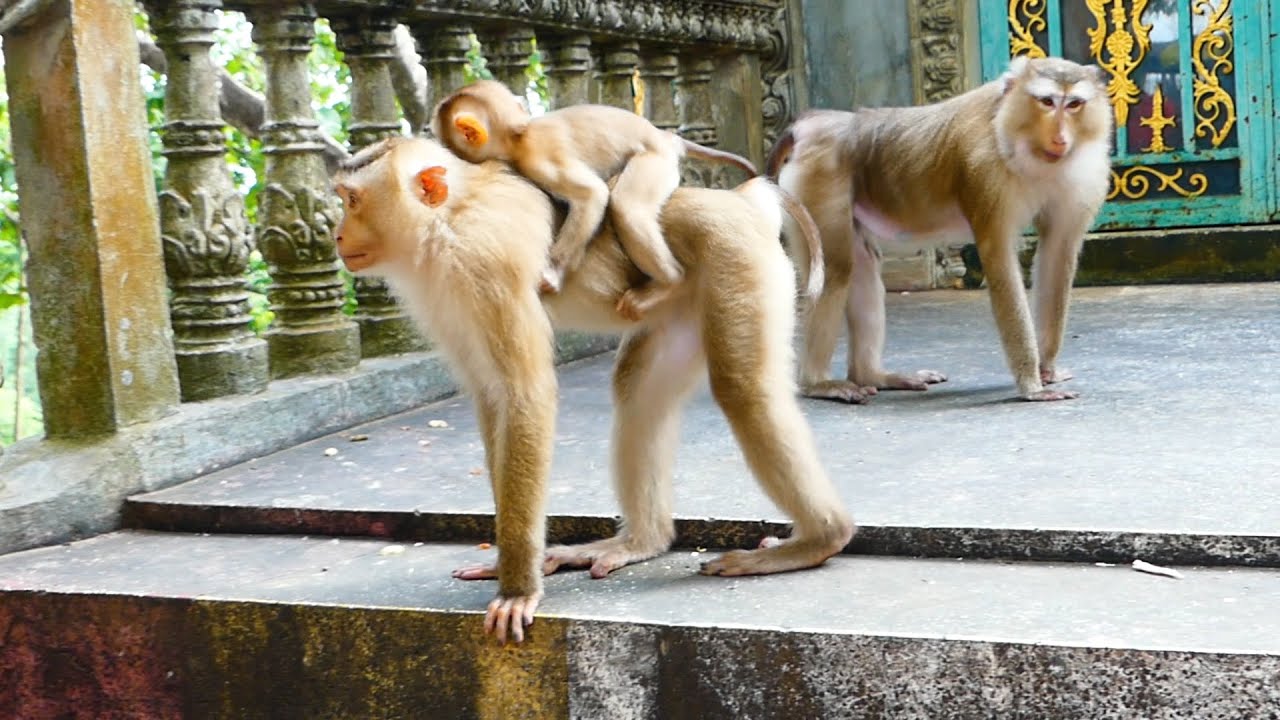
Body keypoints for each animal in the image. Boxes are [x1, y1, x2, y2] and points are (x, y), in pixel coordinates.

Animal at [332, 136, 853, 644]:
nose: (337, 234)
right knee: (637, 389)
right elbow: (491, 395)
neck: (449, 221)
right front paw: (505, 563)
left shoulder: (488, 268)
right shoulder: (445, 295)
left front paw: (517, 589)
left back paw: (819, 539)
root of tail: (740, 201)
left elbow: (525, 396)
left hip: (737, 262)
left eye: (352, 201)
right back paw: (640, 541)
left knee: (743, 391)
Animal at [430, 79, 759, 321]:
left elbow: (592, 194)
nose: (446, 150)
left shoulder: (538, 160)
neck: (519, 134)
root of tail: (665, 137)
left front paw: (553, 274)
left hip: (656, 161)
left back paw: (670, 283)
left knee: (628, 207)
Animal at [767, 55, 1113, 403]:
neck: (1017, 139)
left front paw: (1047, 370)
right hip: (818, 180)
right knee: (836, 271)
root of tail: (814, 124)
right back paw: (817, 383)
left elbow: (1058, 252)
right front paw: (1032, 387)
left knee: (861, 265)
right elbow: (998, 256)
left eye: (1074, 104)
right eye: (1047, 102)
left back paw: (873, 375)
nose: (1060, 138)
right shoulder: (984, 172)